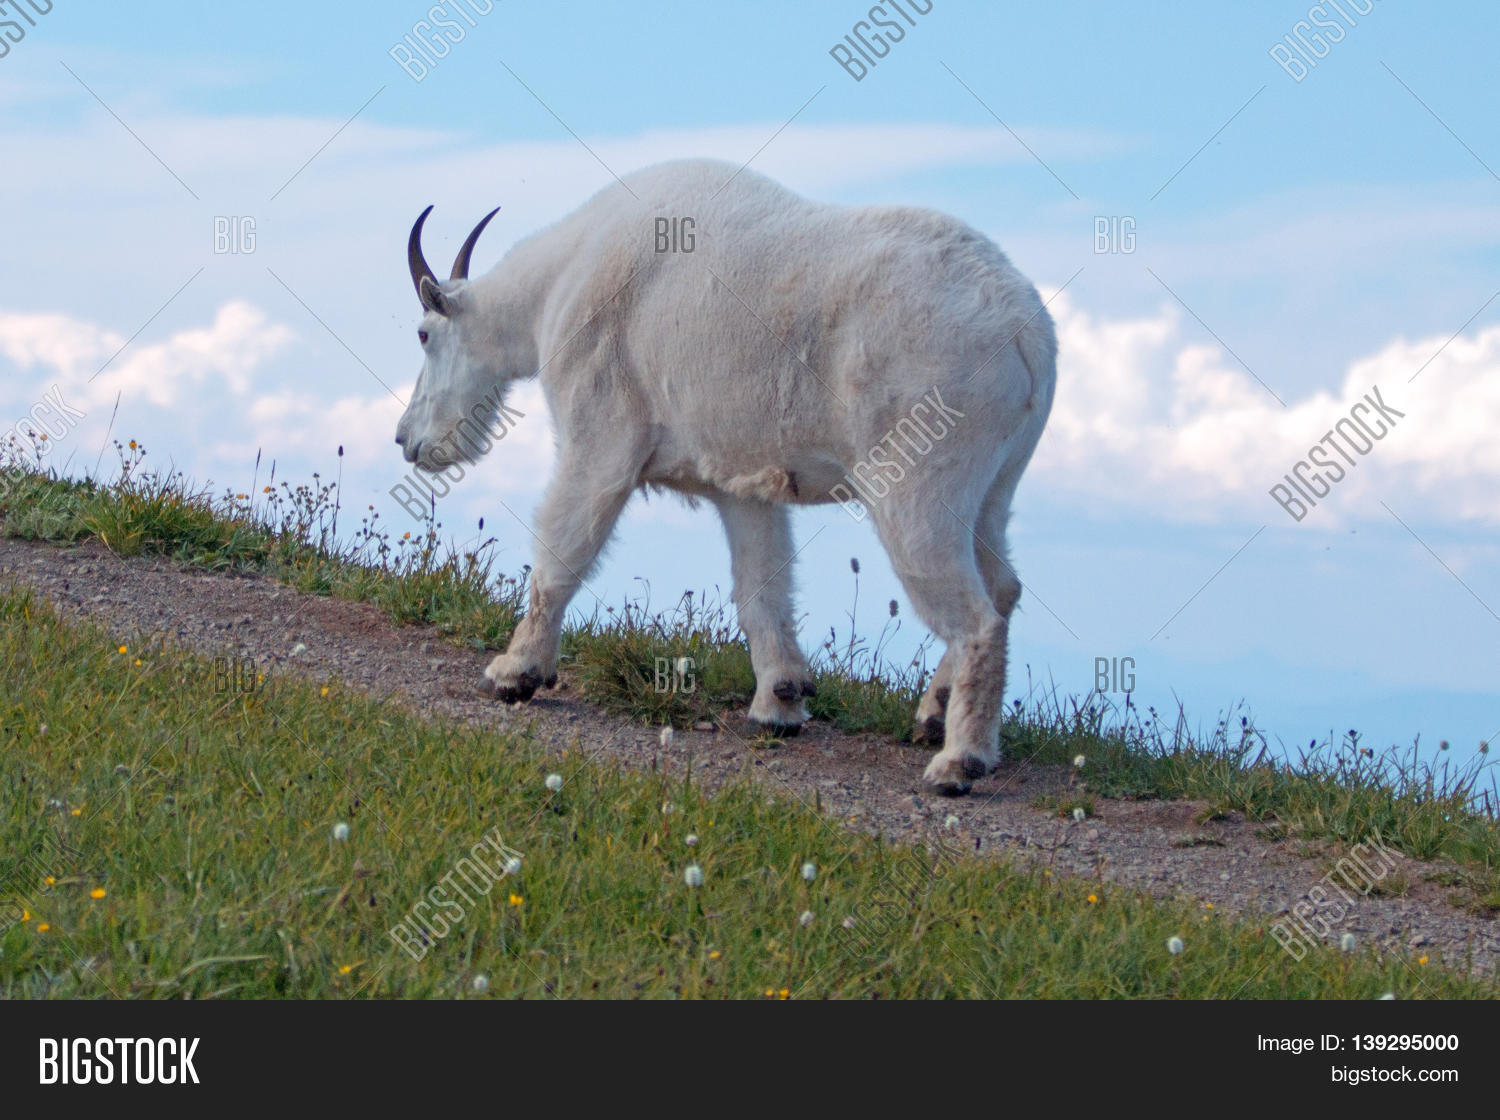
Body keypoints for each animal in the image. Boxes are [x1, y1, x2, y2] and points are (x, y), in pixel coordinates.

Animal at [395, 158, 1056, 795]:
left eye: (425, 335)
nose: (406, 440)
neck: (559, 282)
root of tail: (1029, 333)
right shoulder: (742, 487)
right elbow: (761, 586)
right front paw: (779, 703)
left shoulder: (600, 439)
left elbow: (562, 553)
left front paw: (515, 673)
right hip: (993, 485)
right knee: (1003, 586)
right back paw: (932, 714)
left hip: (920, 480)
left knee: (975, 616)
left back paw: (960, 761)